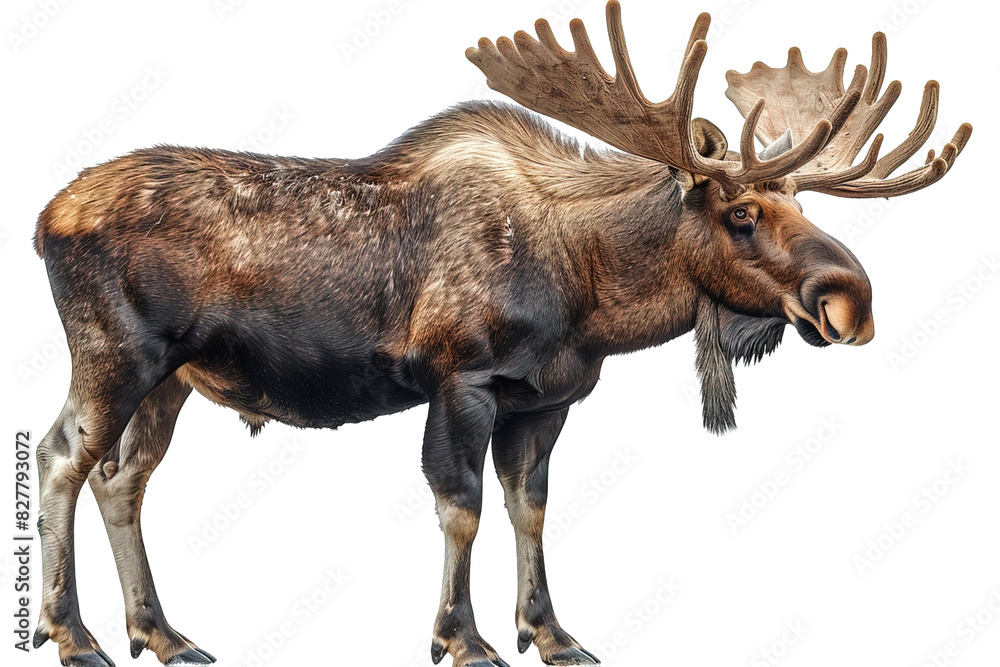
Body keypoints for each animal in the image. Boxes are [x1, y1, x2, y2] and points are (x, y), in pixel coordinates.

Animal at [31, 2, 970, 666]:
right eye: (741, 212)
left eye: (799, 205)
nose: (853, 301)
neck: (592, 288)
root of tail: (44, 219)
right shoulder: (462, 380)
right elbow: (463, 506)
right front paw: (465, 637)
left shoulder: (546, 399)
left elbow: (531, 507)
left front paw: (551, 633)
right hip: (118, 356)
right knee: (61, 456)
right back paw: (74, 635)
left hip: (173, 380)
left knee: (123, 479)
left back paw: (161, 633)